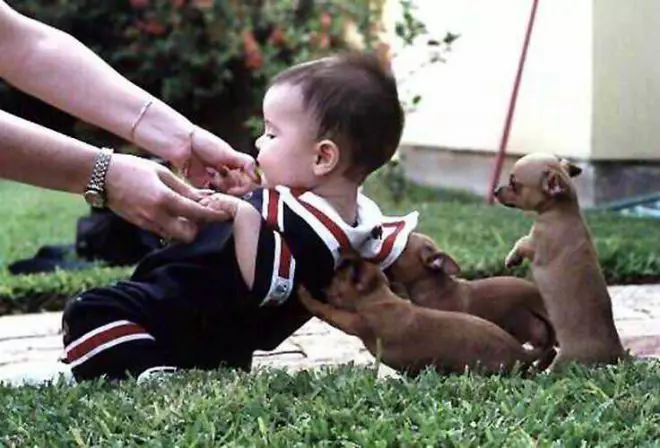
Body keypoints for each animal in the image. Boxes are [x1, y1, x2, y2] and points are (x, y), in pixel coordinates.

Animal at [296, 258, 544, 376]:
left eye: (334, 278)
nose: (318, 281)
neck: (377, 296)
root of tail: (521, 352)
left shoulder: (354, 322)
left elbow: (326, 311)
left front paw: (304, 295)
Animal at [492, 152, 628, 370]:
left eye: (514, 183)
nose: (496, 190)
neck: (561, 210)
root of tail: (617, 353)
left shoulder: (534, 244)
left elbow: (521, 242)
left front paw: (512, 258)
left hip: (565, 358)